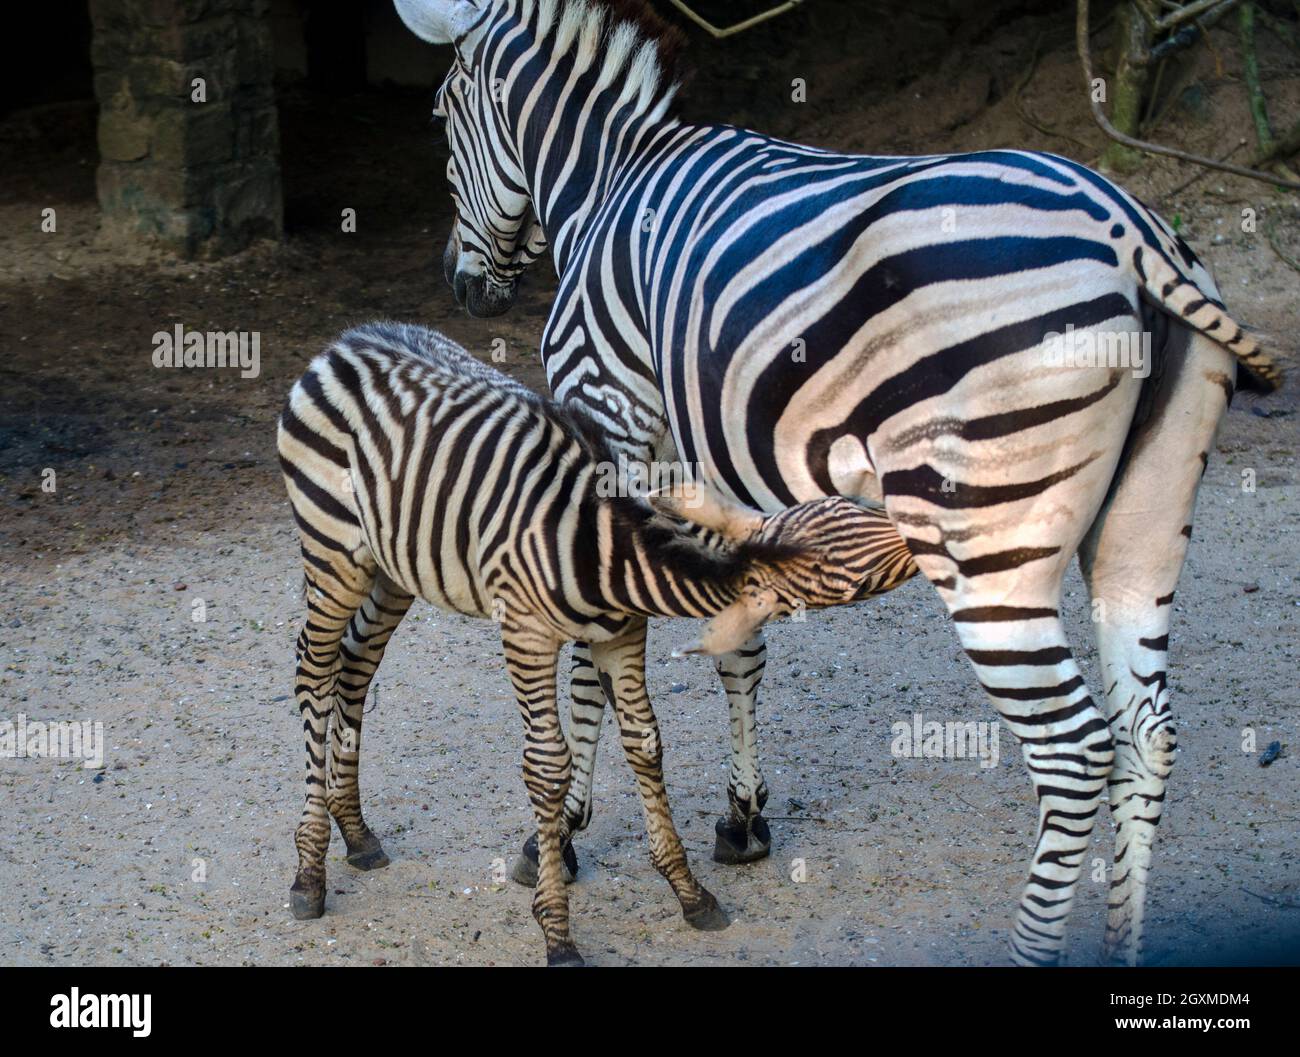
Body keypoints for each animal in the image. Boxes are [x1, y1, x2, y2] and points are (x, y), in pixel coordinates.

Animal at [277, 321, 917, 966]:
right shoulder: (526, 636)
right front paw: (557, 930)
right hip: (332, 553)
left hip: (392, 567)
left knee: (356, 665)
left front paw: (689, 892)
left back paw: (357, 833)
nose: (920, 524)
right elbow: (547, 764)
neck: (605, 553)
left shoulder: (624, 636)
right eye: (852, 573)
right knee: (315, 672)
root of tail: (350, 339)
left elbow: (645, 742)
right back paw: (309, 870)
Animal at [393, 0, 1284, 965]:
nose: (462, 288)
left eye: (440, 116)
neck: (607, 180)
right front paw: (743, 820)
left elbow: (599, 651)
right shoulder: (710, 467)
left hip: (982, 538)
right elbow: (740, 643)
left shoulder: (612, 421)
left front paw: (557, 835)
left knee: (1075, 750)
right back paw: (1126, 942)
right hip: (1144, 526)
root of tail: (1132, 230)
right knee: (1146, 733)